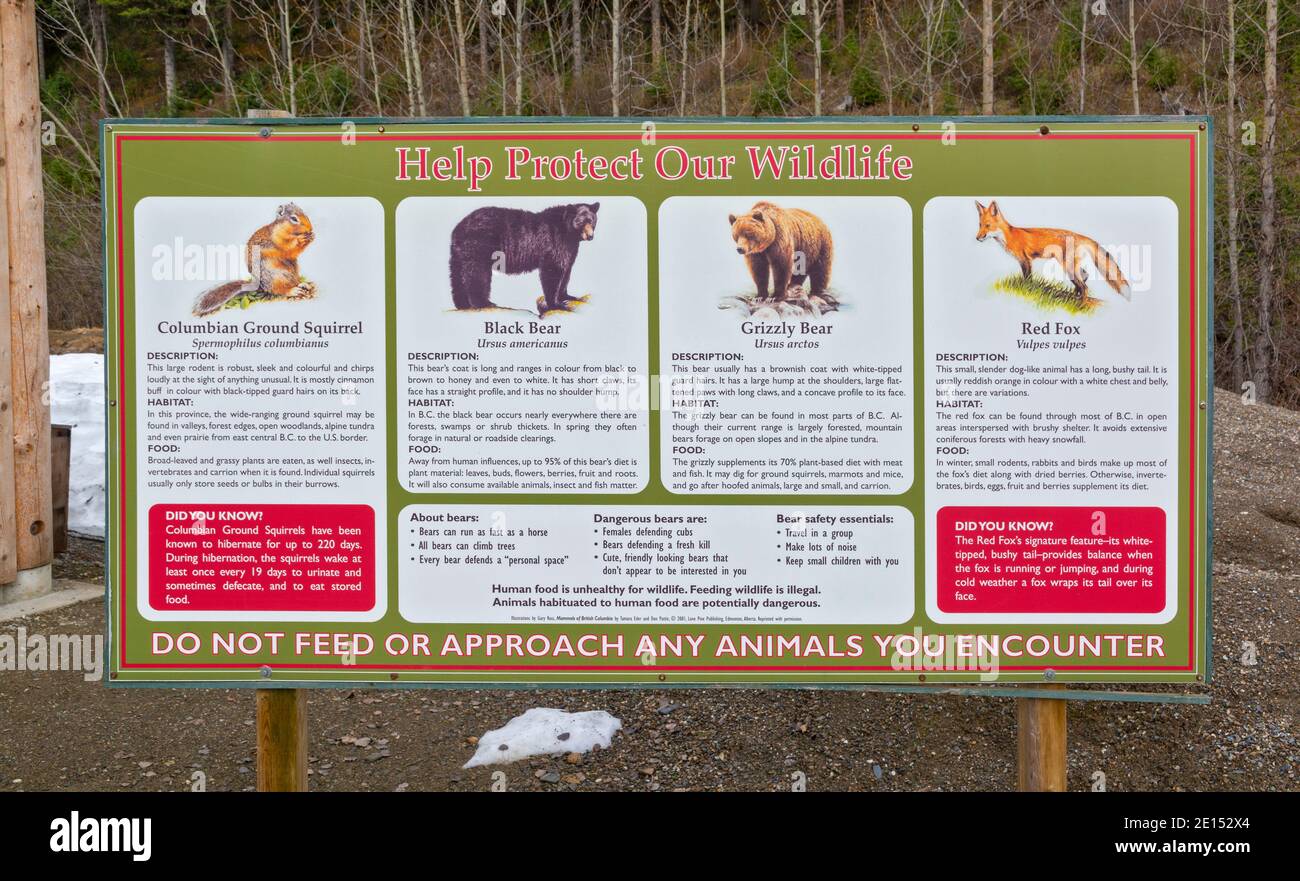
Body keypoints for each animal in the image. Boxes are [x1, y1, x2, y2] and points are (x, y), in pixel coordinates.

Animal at [447, 204, 598, 314]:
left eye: (592, 221)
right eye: (581, 221)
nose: (590, 236)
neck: (568, 232)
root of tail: (458, 228)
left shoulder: (569, 248)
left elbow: (566, 270)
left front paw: (567, 297)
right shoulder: (554, 243)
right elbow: (552, 271)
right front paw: (556, 304)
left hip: (459, 254)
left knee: (457, 276)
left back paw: (463, 304)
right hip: (479, 246)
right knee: (477, 274)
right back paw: (484, 303)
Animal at [977, 201, 1128, 301]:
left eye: (988, 226)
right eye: (980, 225)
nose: (977, 238)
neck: (1009, 235)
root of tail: (1081, 236)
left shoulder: (1025, 260)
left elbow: (1027, 279)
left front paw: (1026, 291)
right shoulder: (1023, 261)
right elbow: (1026, 278)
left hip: (1068, 267)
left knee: (1084, 286)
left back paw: (1081, 303)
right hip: (1072, 267)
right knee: (1085, 277)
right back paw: (1073, 296)